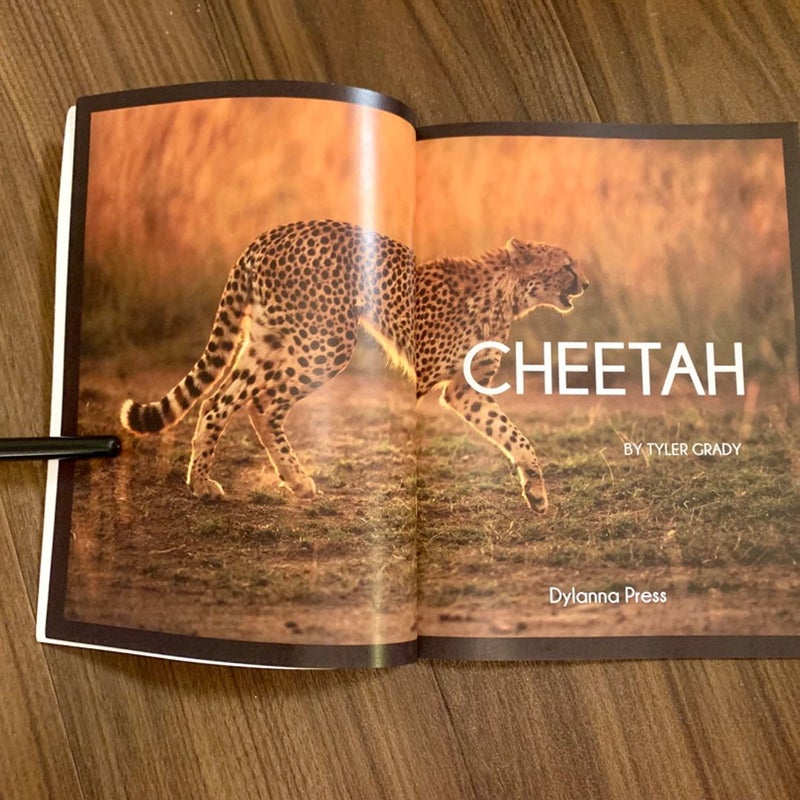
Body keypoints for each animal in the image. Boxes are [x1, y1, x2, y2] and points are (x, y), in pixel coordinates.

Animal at [120, 219, 586, 512]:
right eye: (566, 266)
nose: (585, 283)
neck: (509, 293)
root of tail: (271, 234)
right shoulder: (437, 379)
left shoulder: (464, 390)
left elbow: (513, 435)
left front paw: (536, 490)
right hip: (324, 343)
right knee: (258, 403)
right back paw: (222, 483)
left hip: (268, 340)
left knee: (223, 399)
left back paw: (265, 481)